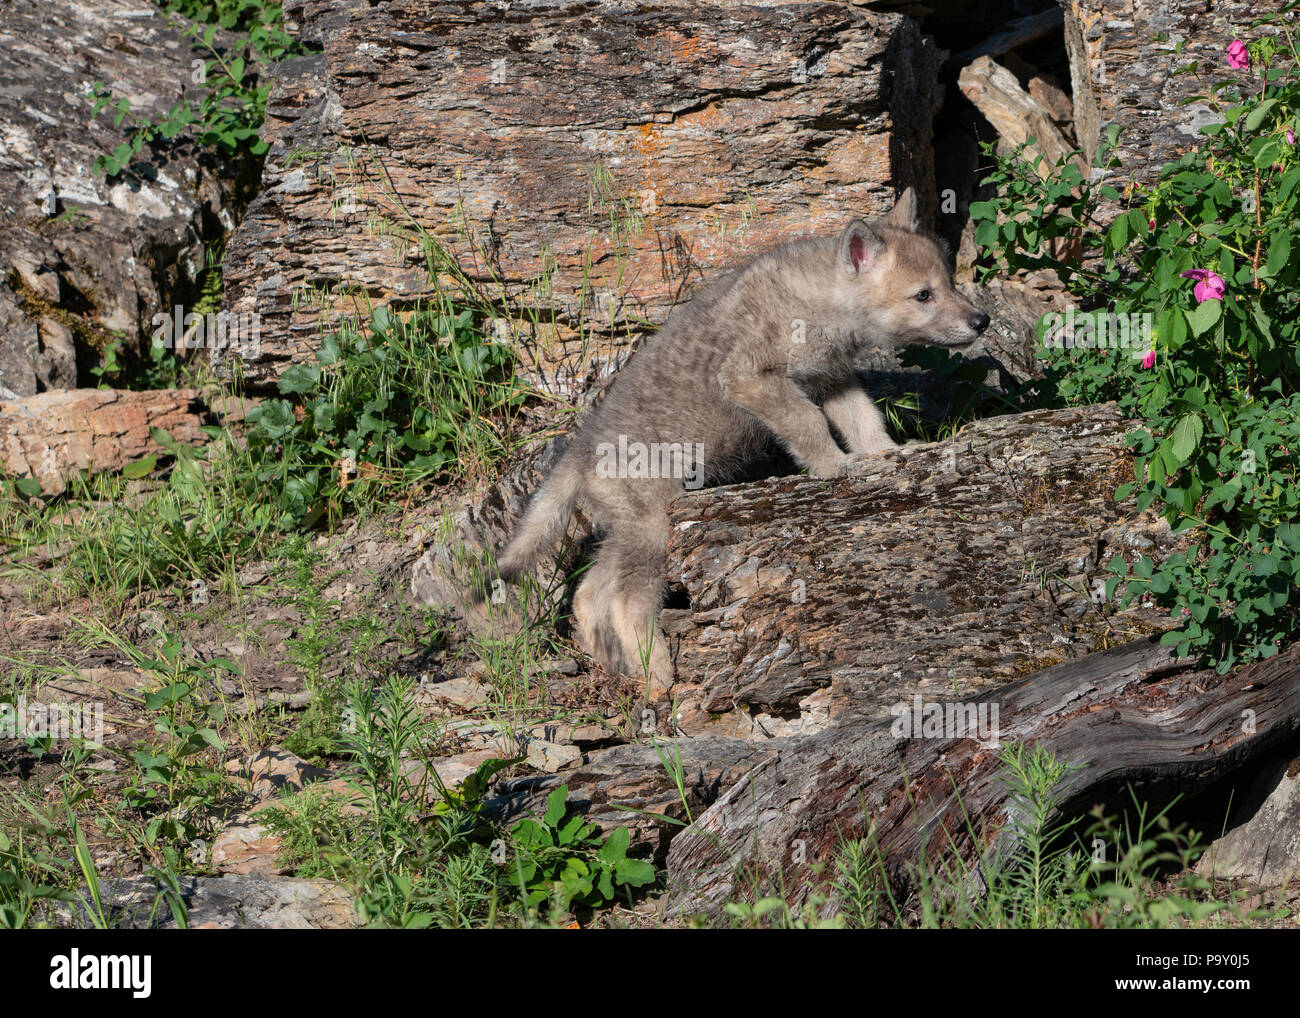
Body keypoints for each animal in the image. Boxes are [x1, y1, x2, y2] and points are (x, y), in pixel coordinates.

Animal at [483, 188, 989, 697]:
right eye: (923, 295)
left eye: (949, 282)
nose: (982, 320)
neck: (818, 298)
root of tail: (579, 451)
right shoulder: (752, 379)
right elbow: (807, 423)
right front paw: (833, 467)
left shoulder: (832, 377)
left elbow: (864, 420)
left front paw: (889, 455)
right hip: (654, 527)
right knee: (625, 603)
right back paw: (660, 674)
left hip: (630, 530)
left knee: (589, 595)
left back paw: (618, 666)